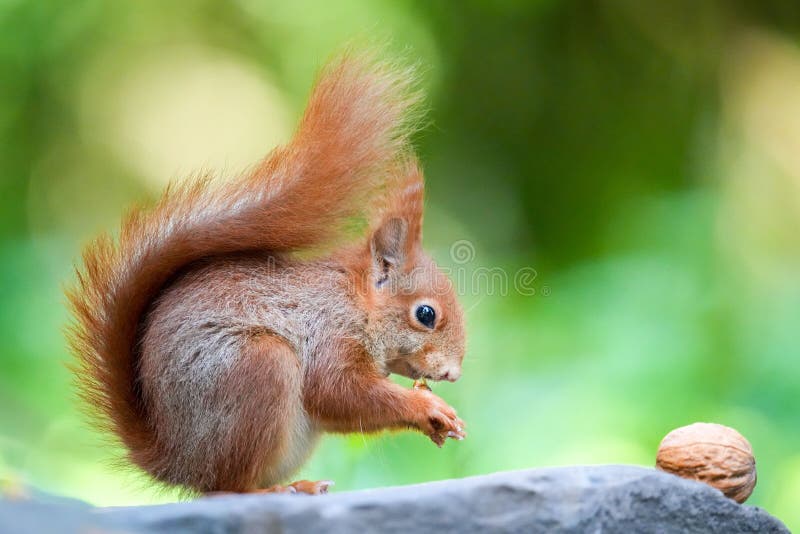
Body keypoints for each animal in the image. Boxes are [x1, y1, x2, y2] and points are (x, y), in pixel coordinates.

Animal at [66, 51, 466, 496]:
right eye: (426, 314)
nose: (453, 373)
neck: (356, 302)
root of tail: (176, 460)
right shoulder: (329, 332)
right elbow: (337, 392)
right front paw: (426, 407)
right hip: (259, 369)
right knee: (227, 487)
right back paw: (278, 490)